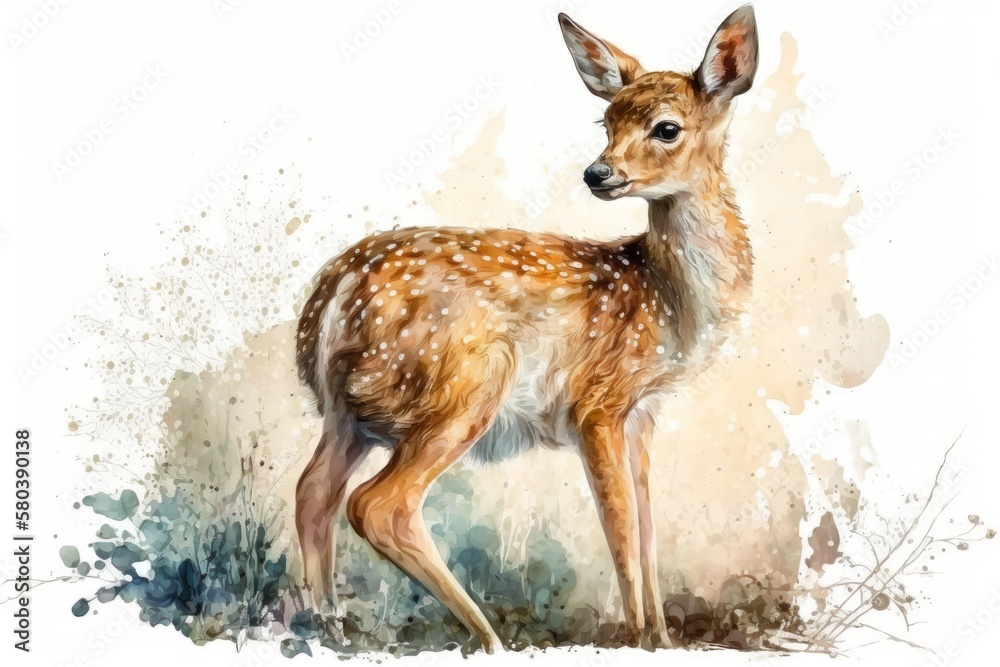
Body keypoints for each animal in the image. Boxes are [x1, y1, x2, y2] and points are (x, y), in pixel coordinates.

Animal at [294, 5, 758, 653]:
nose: (597, 172)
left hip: (349, 412)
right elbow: (620, 531)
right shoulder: (597, 403)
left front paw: (663, 641)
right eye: (606, 121)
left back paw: (327, 628)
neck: (667, 300)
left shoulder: (641, 415)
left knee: (314, 493)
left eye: (666, 128)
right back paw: (488, 638)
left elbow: (647, 527)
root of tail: (333, 293)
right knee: (379, 505)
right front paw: (638, 638)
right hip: (460, 386)